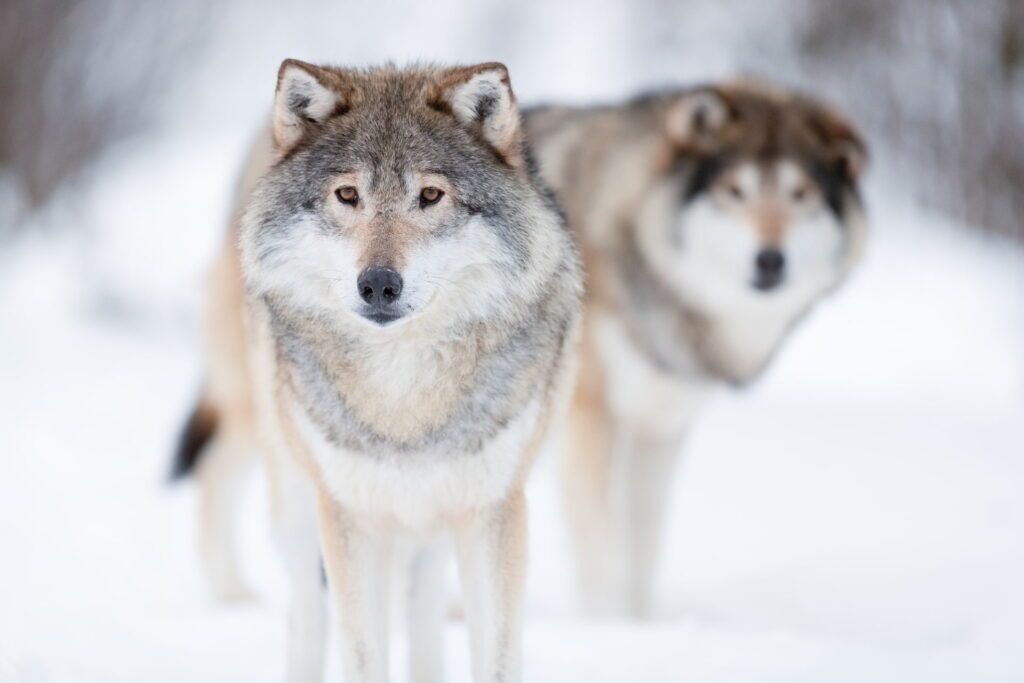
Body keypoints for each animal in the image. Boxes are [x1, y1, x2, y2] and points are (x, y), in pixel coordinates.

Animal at [172, 60, 582, 683]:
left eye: (430, 195)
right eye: (348, 195)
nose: (380, 284)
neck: (403, 392)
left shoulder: (492, 511)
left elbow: (495, 655)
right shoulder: (350, 515)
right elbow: (361, 651)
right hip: (292, 489)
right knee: (299, 603)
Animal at [524, 81, 868, 618]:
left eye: (799, 195)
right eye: (735, 192)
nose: (770, 260)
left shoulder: (660, 428)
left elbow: (643, 543)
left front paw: (641, 626)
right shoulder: (591, 416)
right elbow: (604, 547)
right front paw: (608, 623)